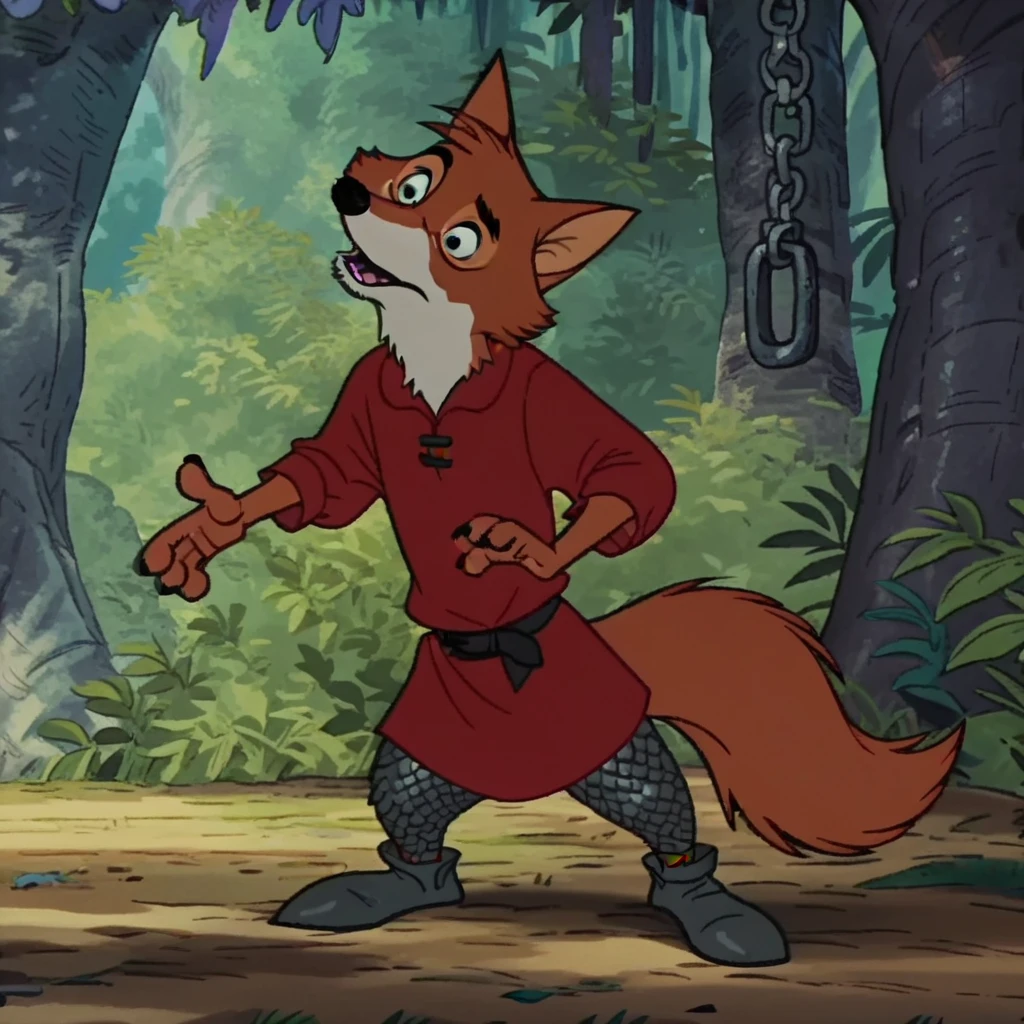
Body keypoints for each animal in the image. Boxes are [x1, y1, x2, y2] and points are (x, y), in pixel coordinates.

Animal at [137, 50, 964, 969]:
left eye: (459, 237)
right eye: (413, 180)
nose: (351, 193)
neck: (439, 366)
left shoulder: (546, 396)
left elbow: (629, 472)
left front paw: (525, 548)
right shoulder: (363, 397)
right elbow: (326, 476)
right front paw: (207, 525)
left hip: (606, 739)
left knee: (653, 801)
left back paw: (709, 906)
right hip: (428, 741)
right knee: (410, 798)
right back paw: (395, 885)